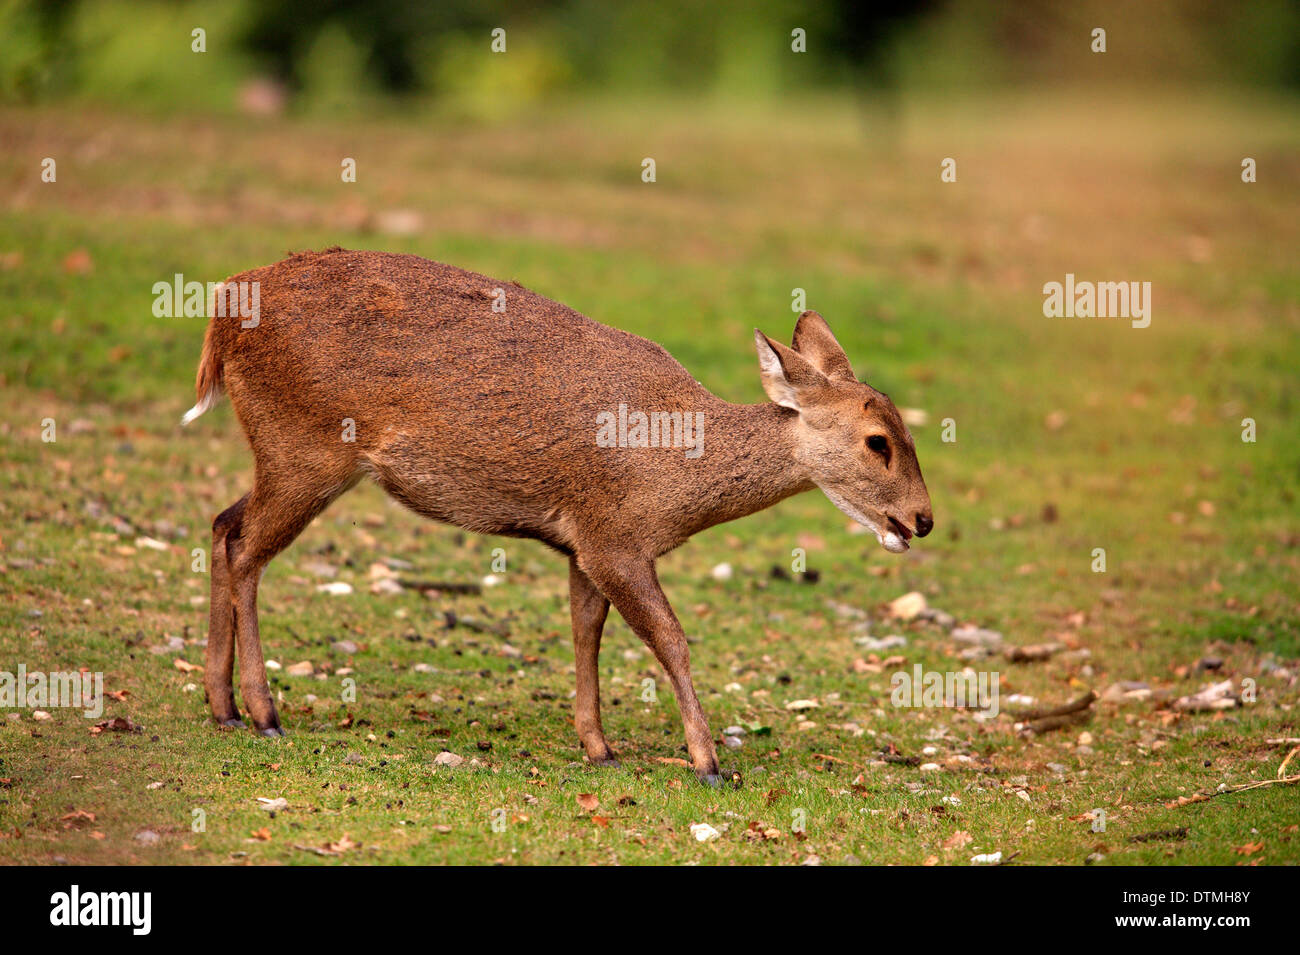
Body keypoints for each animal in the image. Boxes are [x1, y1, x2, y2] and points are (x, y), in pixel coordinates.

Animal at [183, 248, 933, 786]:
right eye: (879, 441)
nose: (923, 520)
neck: (675, 478)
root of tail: (220, 316)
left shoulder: (580, 541)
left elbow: (584, 632)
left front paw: (599, 745)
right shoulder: (614, 539)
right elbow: (671, 638)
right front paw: (709, 762)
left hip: (286, 454)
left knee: (222, 525)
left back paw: (221, 707)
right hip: (304, 447)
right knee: (246, 548)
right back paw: (264, 711)